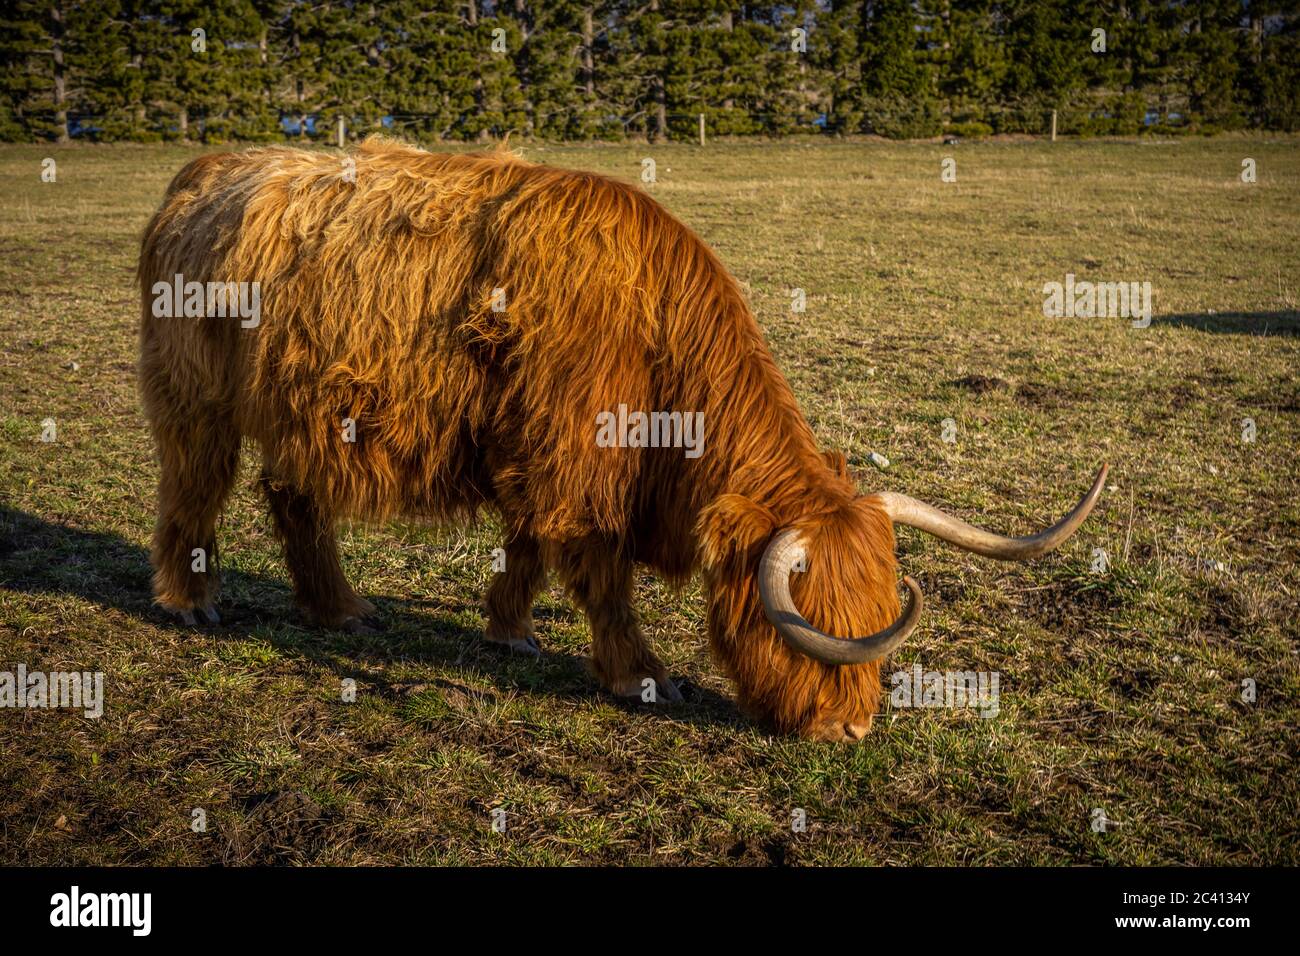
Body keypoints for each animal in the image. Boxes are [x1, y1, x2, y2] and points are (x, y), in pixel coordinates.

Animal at [138, 137, 1106, 741]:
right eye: (814, 626)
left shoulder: (541, 456)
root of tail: (204, 170)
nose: (853, 725)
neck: (655, 334)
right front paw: (642, 675)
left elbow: (528, 551)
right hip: (194, 396)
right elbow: (599, 574)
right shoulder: (578, 464)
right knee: (192, 487)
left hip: (296, 410)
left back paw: (338, 607)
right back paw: (189, 601)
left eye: (873, 604)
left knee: (291, 494)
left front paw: (509, 630)